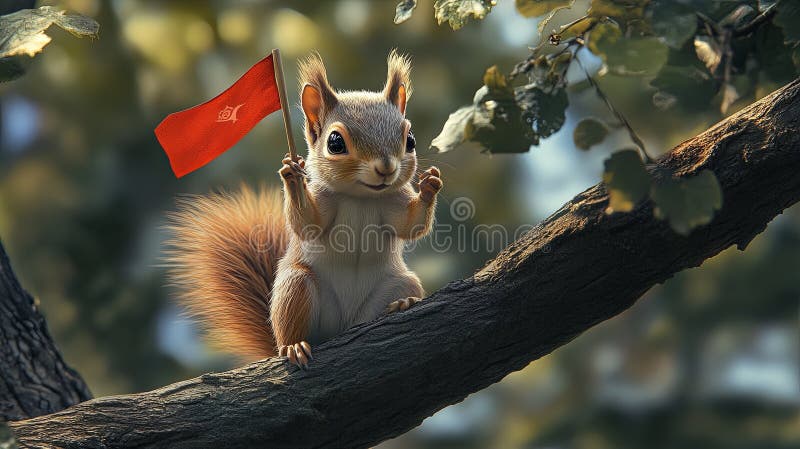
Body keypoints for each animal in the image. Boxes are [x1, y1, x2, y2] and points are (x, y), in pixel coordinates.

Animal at [165, 51, 442, 368]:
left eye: (410, 140)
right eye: (335, 143)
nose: (386, 168)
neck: (360, 197)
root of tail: (342, 327)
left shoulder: (393, 201)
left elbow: (410, 225)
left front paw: (431, 184)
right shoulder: (323, 201)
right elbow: (309, 223)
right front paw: (293, 176)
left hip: (396, 285)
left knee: (400, 291)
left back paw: (403, 303)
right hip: (294, 289)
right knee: (294, 322)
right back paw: (294, 345)